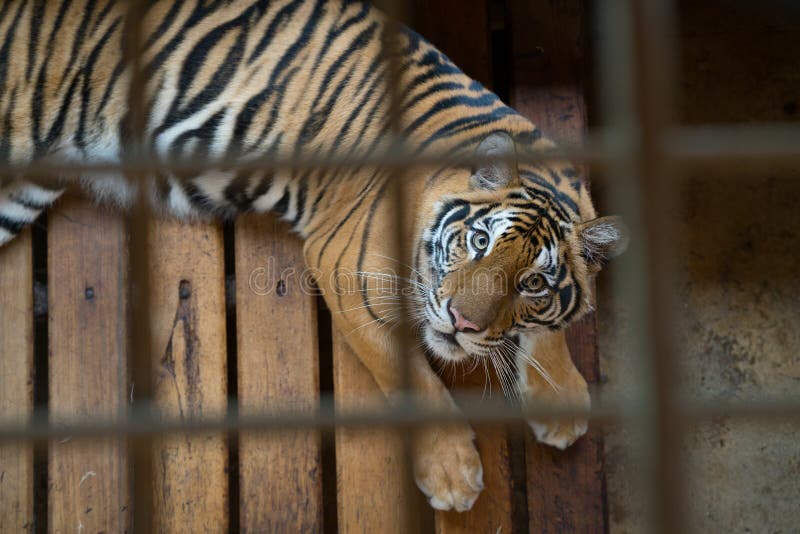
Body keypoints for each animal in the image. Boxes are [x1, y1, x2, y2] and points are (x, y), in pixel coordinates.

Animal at [0, 0, 627, 512]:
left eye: (534, 284)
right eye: (478, 243)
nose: (461, 322)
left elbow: (547, 333)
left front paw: (562, 401)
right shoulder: (348, 272)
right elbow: (409, 377)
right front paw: (452, 474)